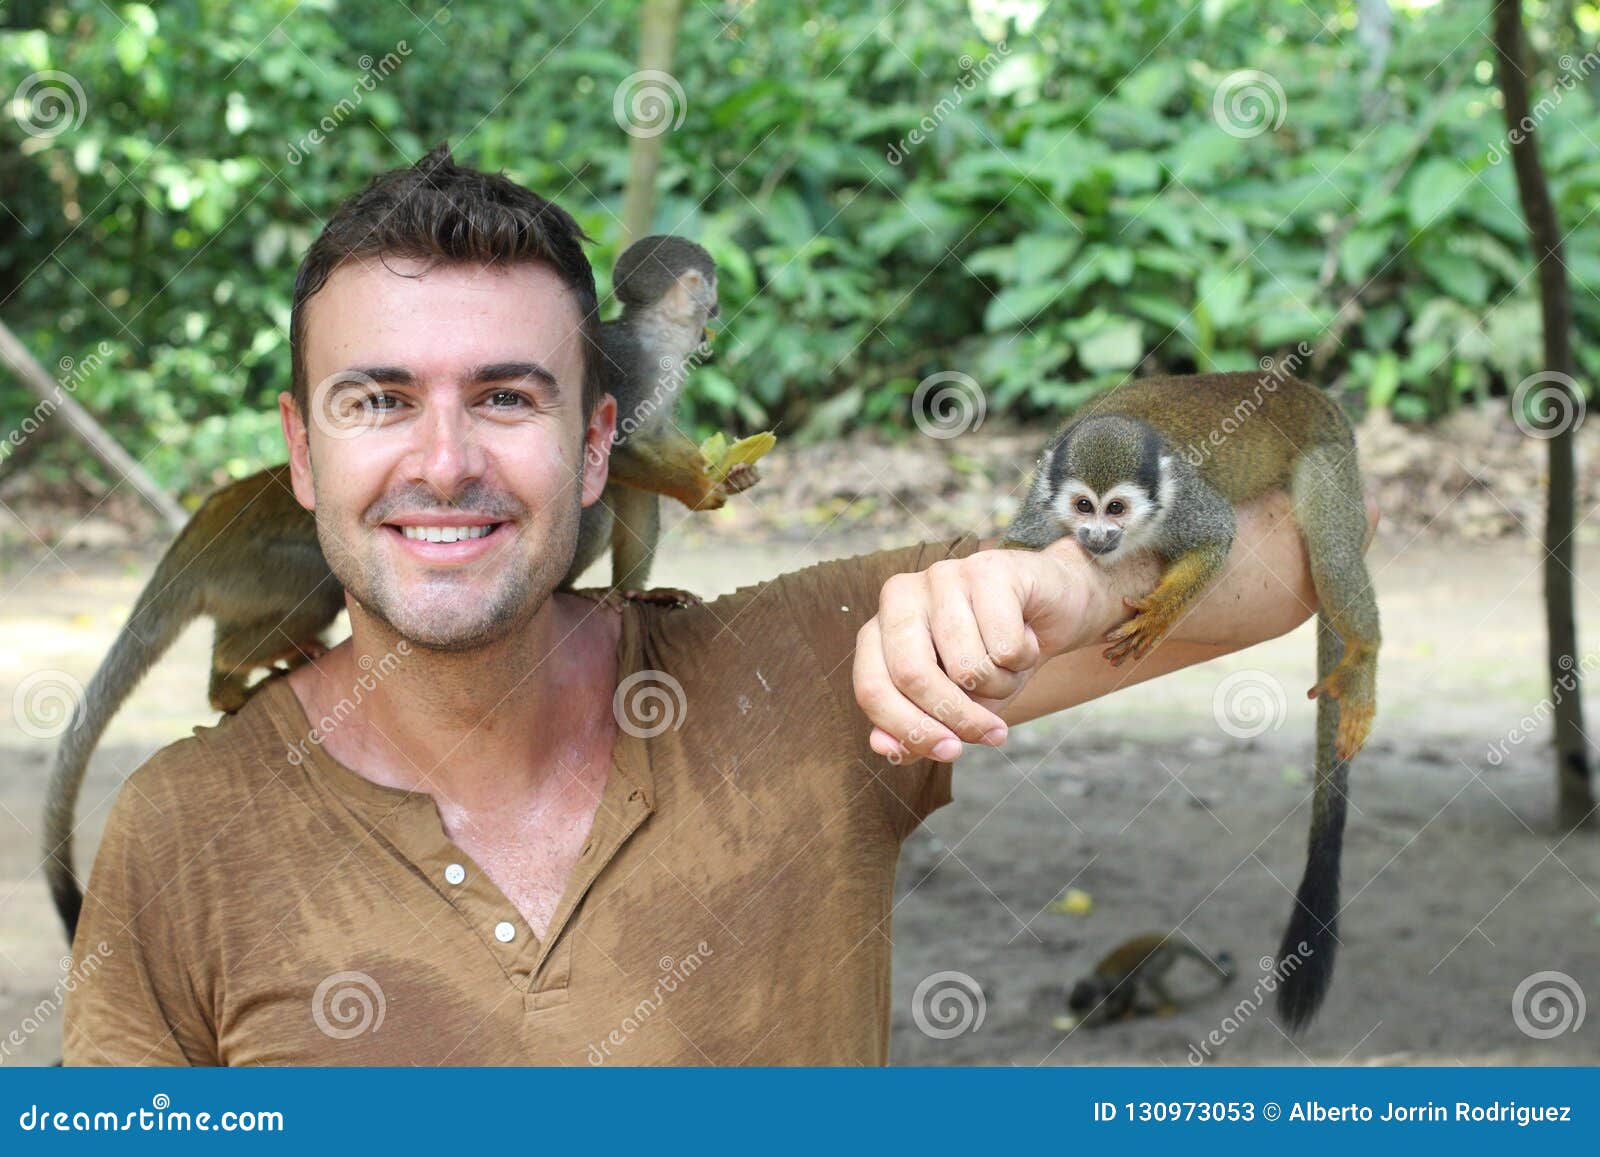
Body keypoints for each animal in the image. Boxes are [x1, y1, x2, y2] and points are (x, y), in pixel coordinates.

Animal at [43, 234, 758, 941]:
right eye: (712, 291)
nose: (717, 316)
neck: (658, 337)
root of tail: (201, 534)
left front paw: (653, 573)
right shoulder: (638, 367)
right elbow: (626, 450)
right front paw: (701, 488)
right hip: (256, 566)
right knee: (323, 583)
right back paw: (232, 673)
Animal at [1066, 933, 1235, 1027]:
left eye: (1083, 1011)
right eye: (1075, 1013)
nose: (1080, 1020)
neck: (1099, 983)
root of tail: (1169, 940)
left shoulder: (1114, 984)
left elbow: (1129, 988)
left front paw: (1119, 1013)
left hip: (1164, 955)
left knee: (1149, 976)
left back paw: (1171, 1005)